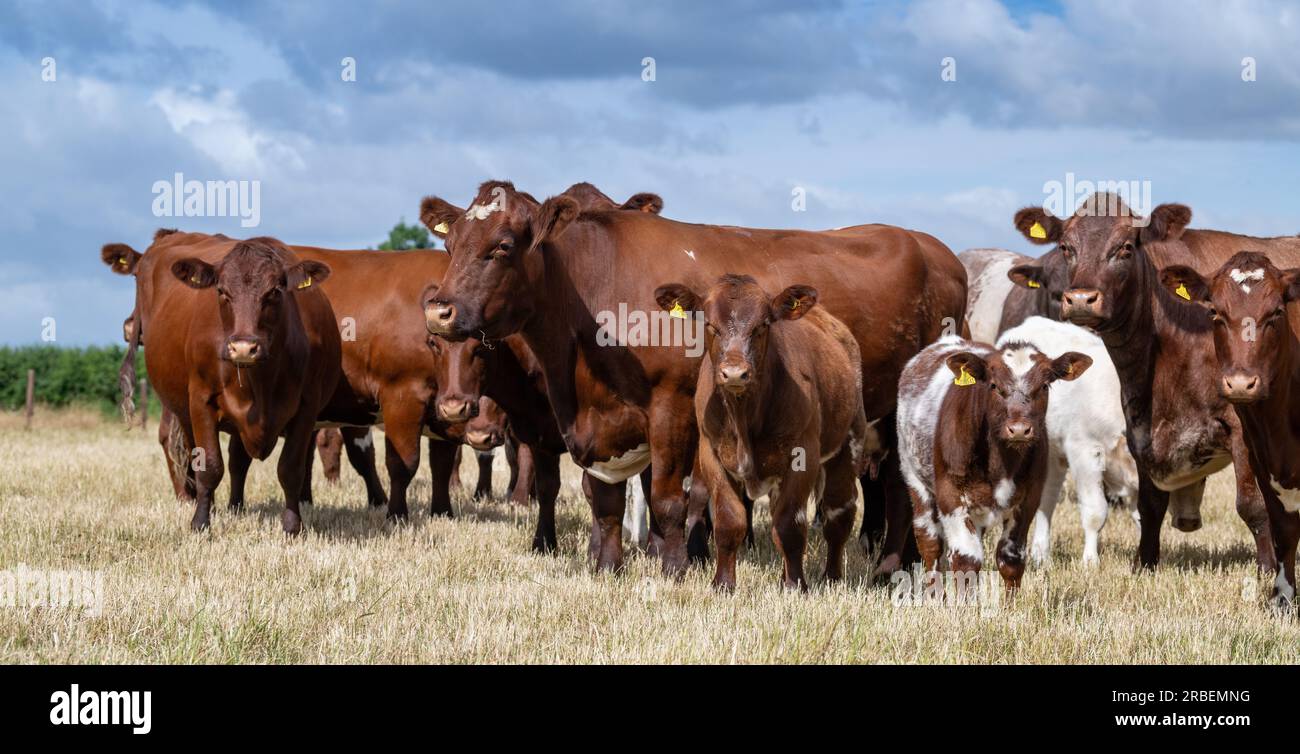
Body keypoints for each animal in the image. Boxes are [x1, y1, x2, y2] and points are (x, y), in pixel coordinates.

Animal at [654, 275, 867, 590]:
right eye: (710, 324)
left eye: (762, 325)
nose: (734, 373)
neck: (744, 416)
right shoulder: (711, 455)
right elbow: (730, 521)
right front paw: (723, 584)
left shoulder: (803, 455)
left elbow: (790, 525)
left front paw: (796, 586)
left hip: (847, 447)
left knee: (838, 515)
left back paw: (831, 577)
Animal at [898, 336, 1091, 597]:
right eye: (993, 385)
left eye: (1044, 386)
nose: (1019, 430)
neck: (1002, 463)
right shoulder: (950, 494)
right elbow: (966, 560)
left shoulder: (1029, 499)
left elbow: (1011, 559)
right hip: (914, 476)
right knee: (930, 542)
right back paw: (934, 595)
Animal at [997, 317, 1139, 565]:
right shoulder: (1084, 451)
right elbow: (1095, 512)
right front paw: (1090, 561)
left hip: (1053, 457)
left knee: (1047, 498)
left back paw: (1041, 554)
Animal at [1158, 252, 1300, 605]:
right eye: (1216, 313)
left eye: (1277, 312)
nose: (1240, 383)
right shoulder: (1262, 460)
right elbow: (1283, 528)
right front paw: (1282, 598)